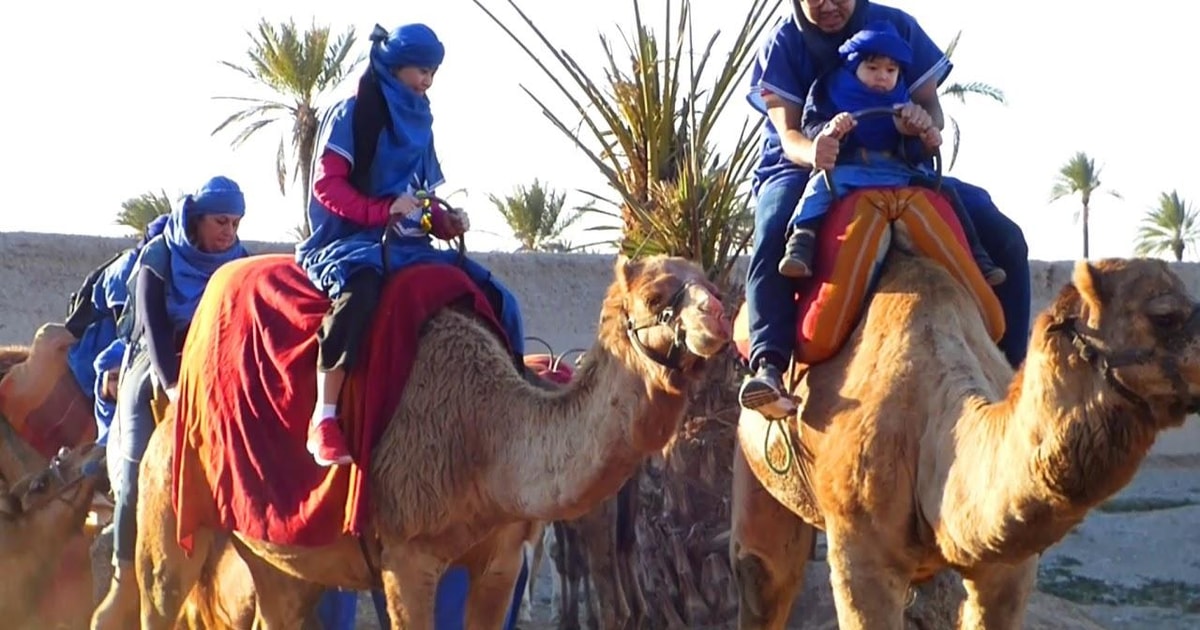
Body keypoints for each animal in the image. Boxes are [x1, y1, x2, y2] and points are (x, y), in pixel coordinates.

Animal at [134, 254, 731, 629]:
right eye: (656, 294)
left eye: (709, 281)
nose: (721, 316)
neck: (487, 438)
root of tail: (170, 411)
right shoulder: (406, 558)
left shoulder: (502, 561)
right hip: (167, 520)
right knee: (155, 599)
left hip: (276, 555)